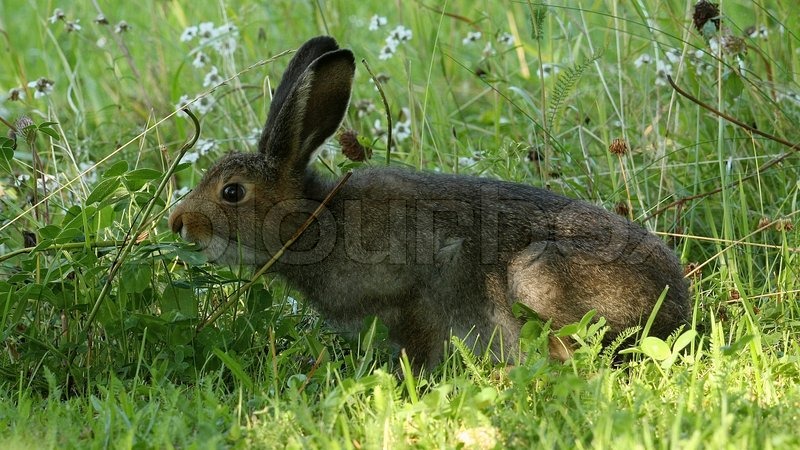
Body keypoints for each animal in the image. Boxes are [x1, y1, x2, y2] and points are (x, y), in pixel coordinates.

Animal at [169, 36, 691, 370]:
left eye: (232, 191)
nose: (177, 223)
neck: (317, 220)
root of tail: (677, 308)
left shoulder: (410, 296)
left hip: (537, 278)